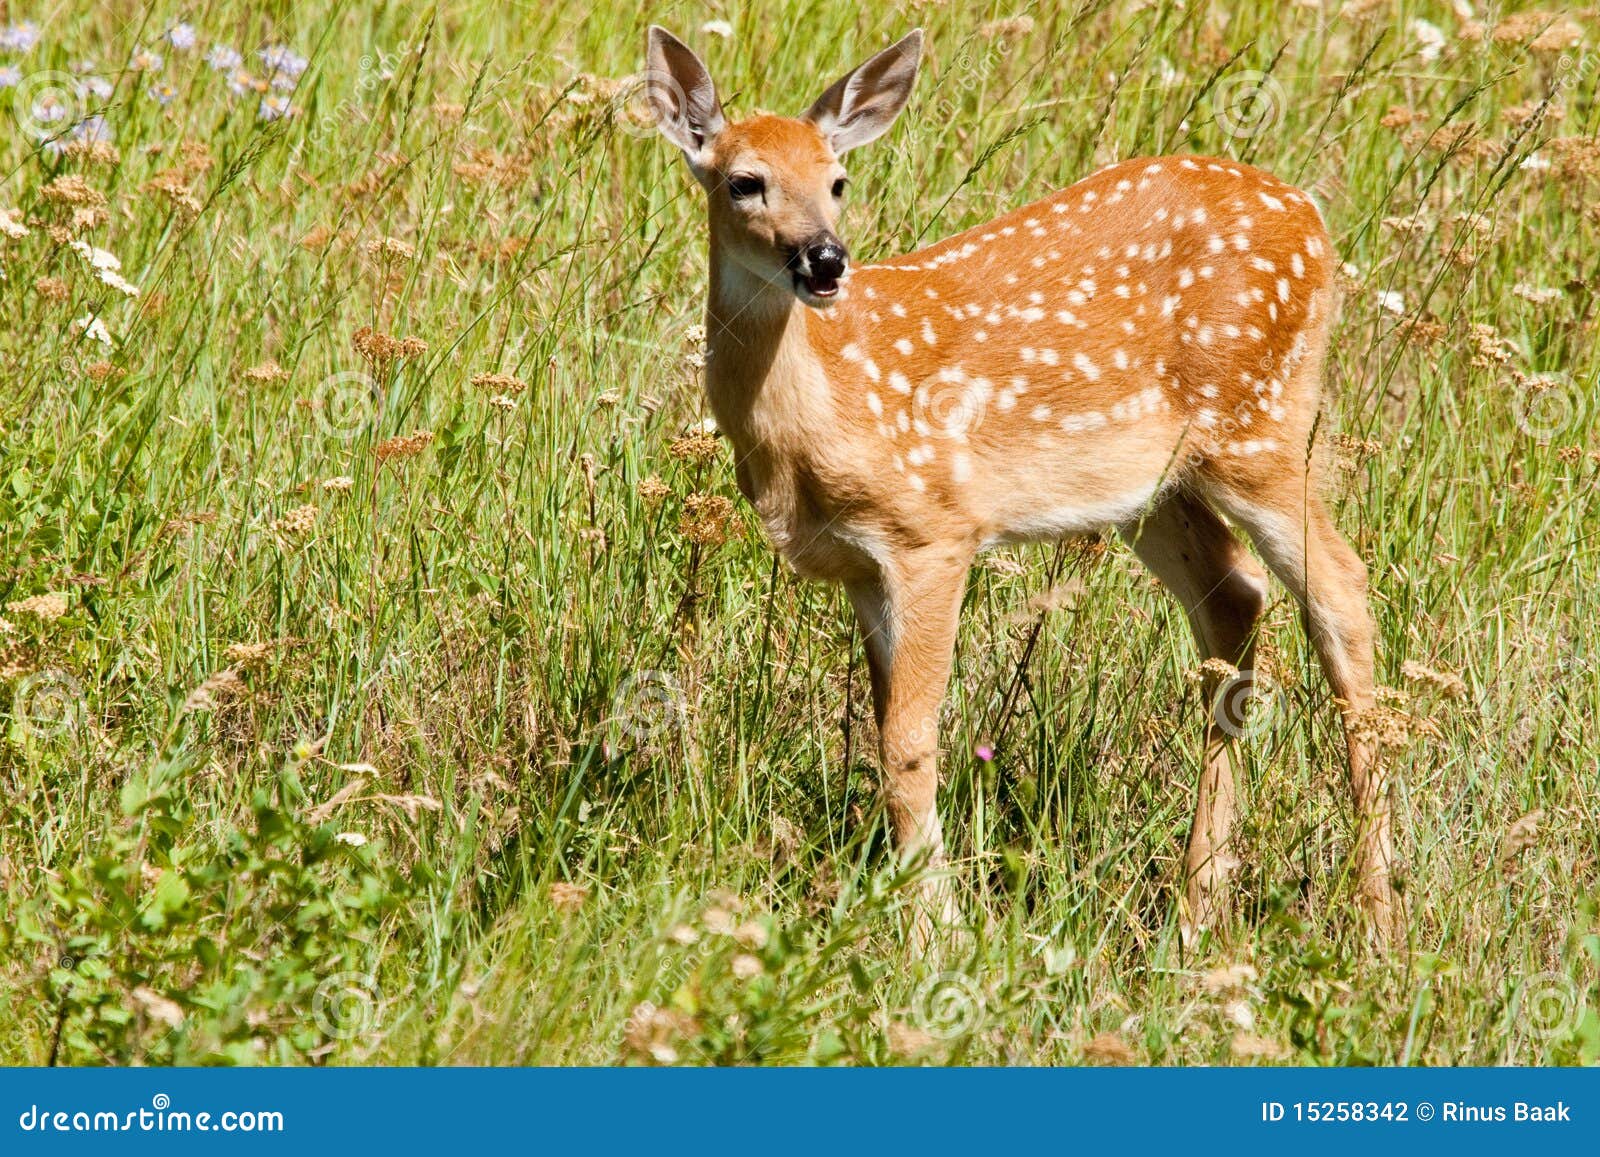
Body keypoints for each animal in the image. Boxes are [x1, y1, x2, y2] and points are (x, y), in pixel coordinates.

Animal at [644, 25, 1400, 947]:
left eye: (837, 180)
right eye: (745, 181)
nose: (824, 259)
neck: (826, 408)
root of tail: (1314, 219)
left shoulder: (934, 531)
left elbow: (908, 745)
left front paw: (936, 934)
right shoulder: (862, 569)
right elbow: (886, 729)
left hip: (1262, 427)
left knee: (1341, 593)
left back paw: (1376, 917)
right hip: (1152, 486)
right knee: (1234, 595)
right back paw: (1196, 910)